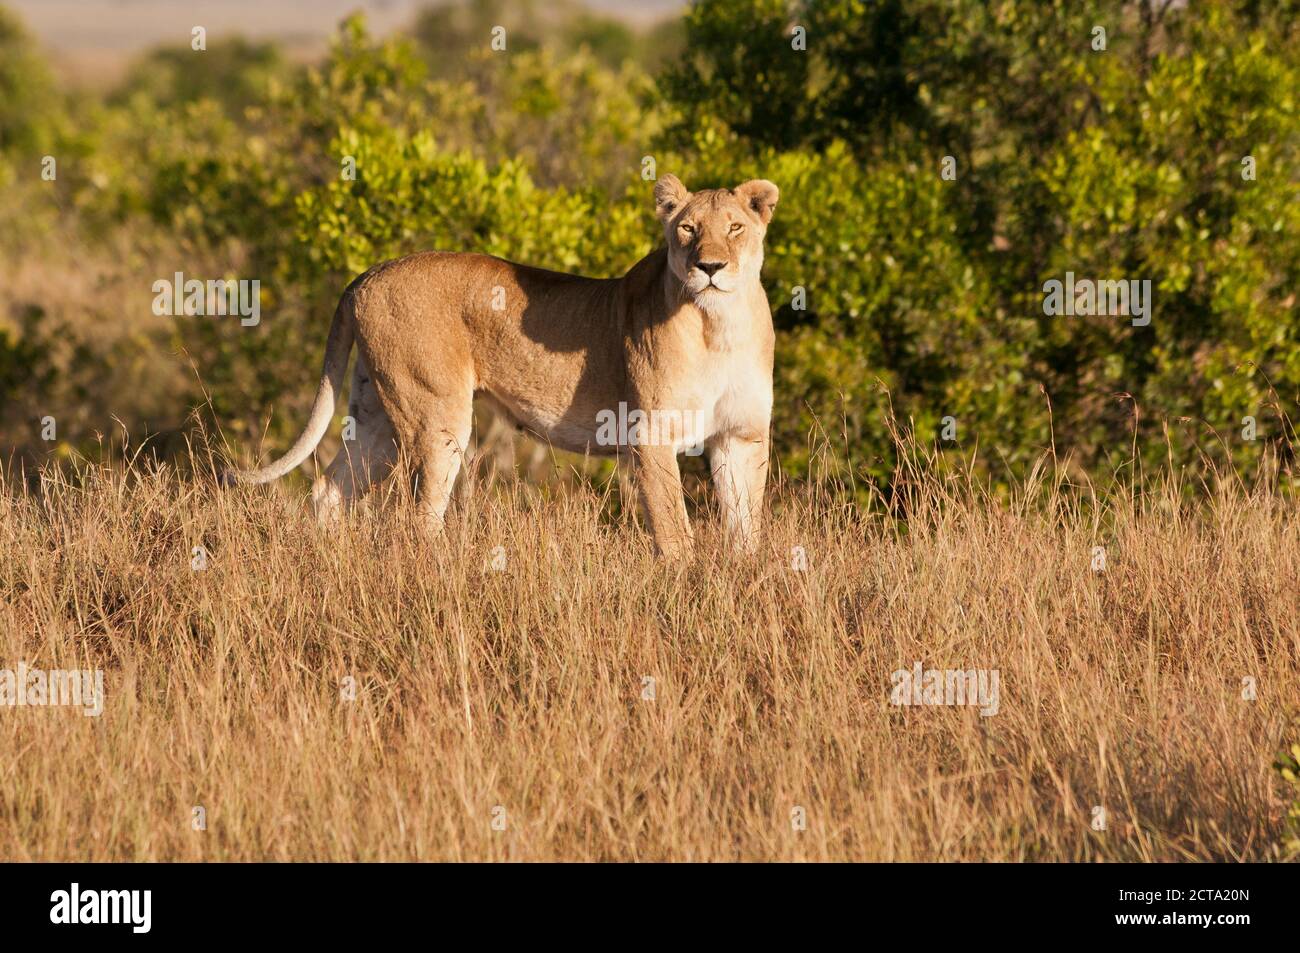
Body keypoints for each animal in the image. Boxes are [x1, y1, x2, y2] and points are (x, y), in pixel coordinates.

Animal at [224, 174, 779, 557]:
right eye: (687, 228)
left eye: (735, 228)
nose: (710, 267)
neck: (717, 326)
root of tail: (367, 274)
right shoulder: (652, 433)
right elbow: (674, 529)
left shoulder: (741, 435)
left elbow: (747, 526)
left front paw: (740, 581)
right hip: (434, 415)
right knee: (415, 518)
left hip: (375, 412)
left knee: (329, 489)